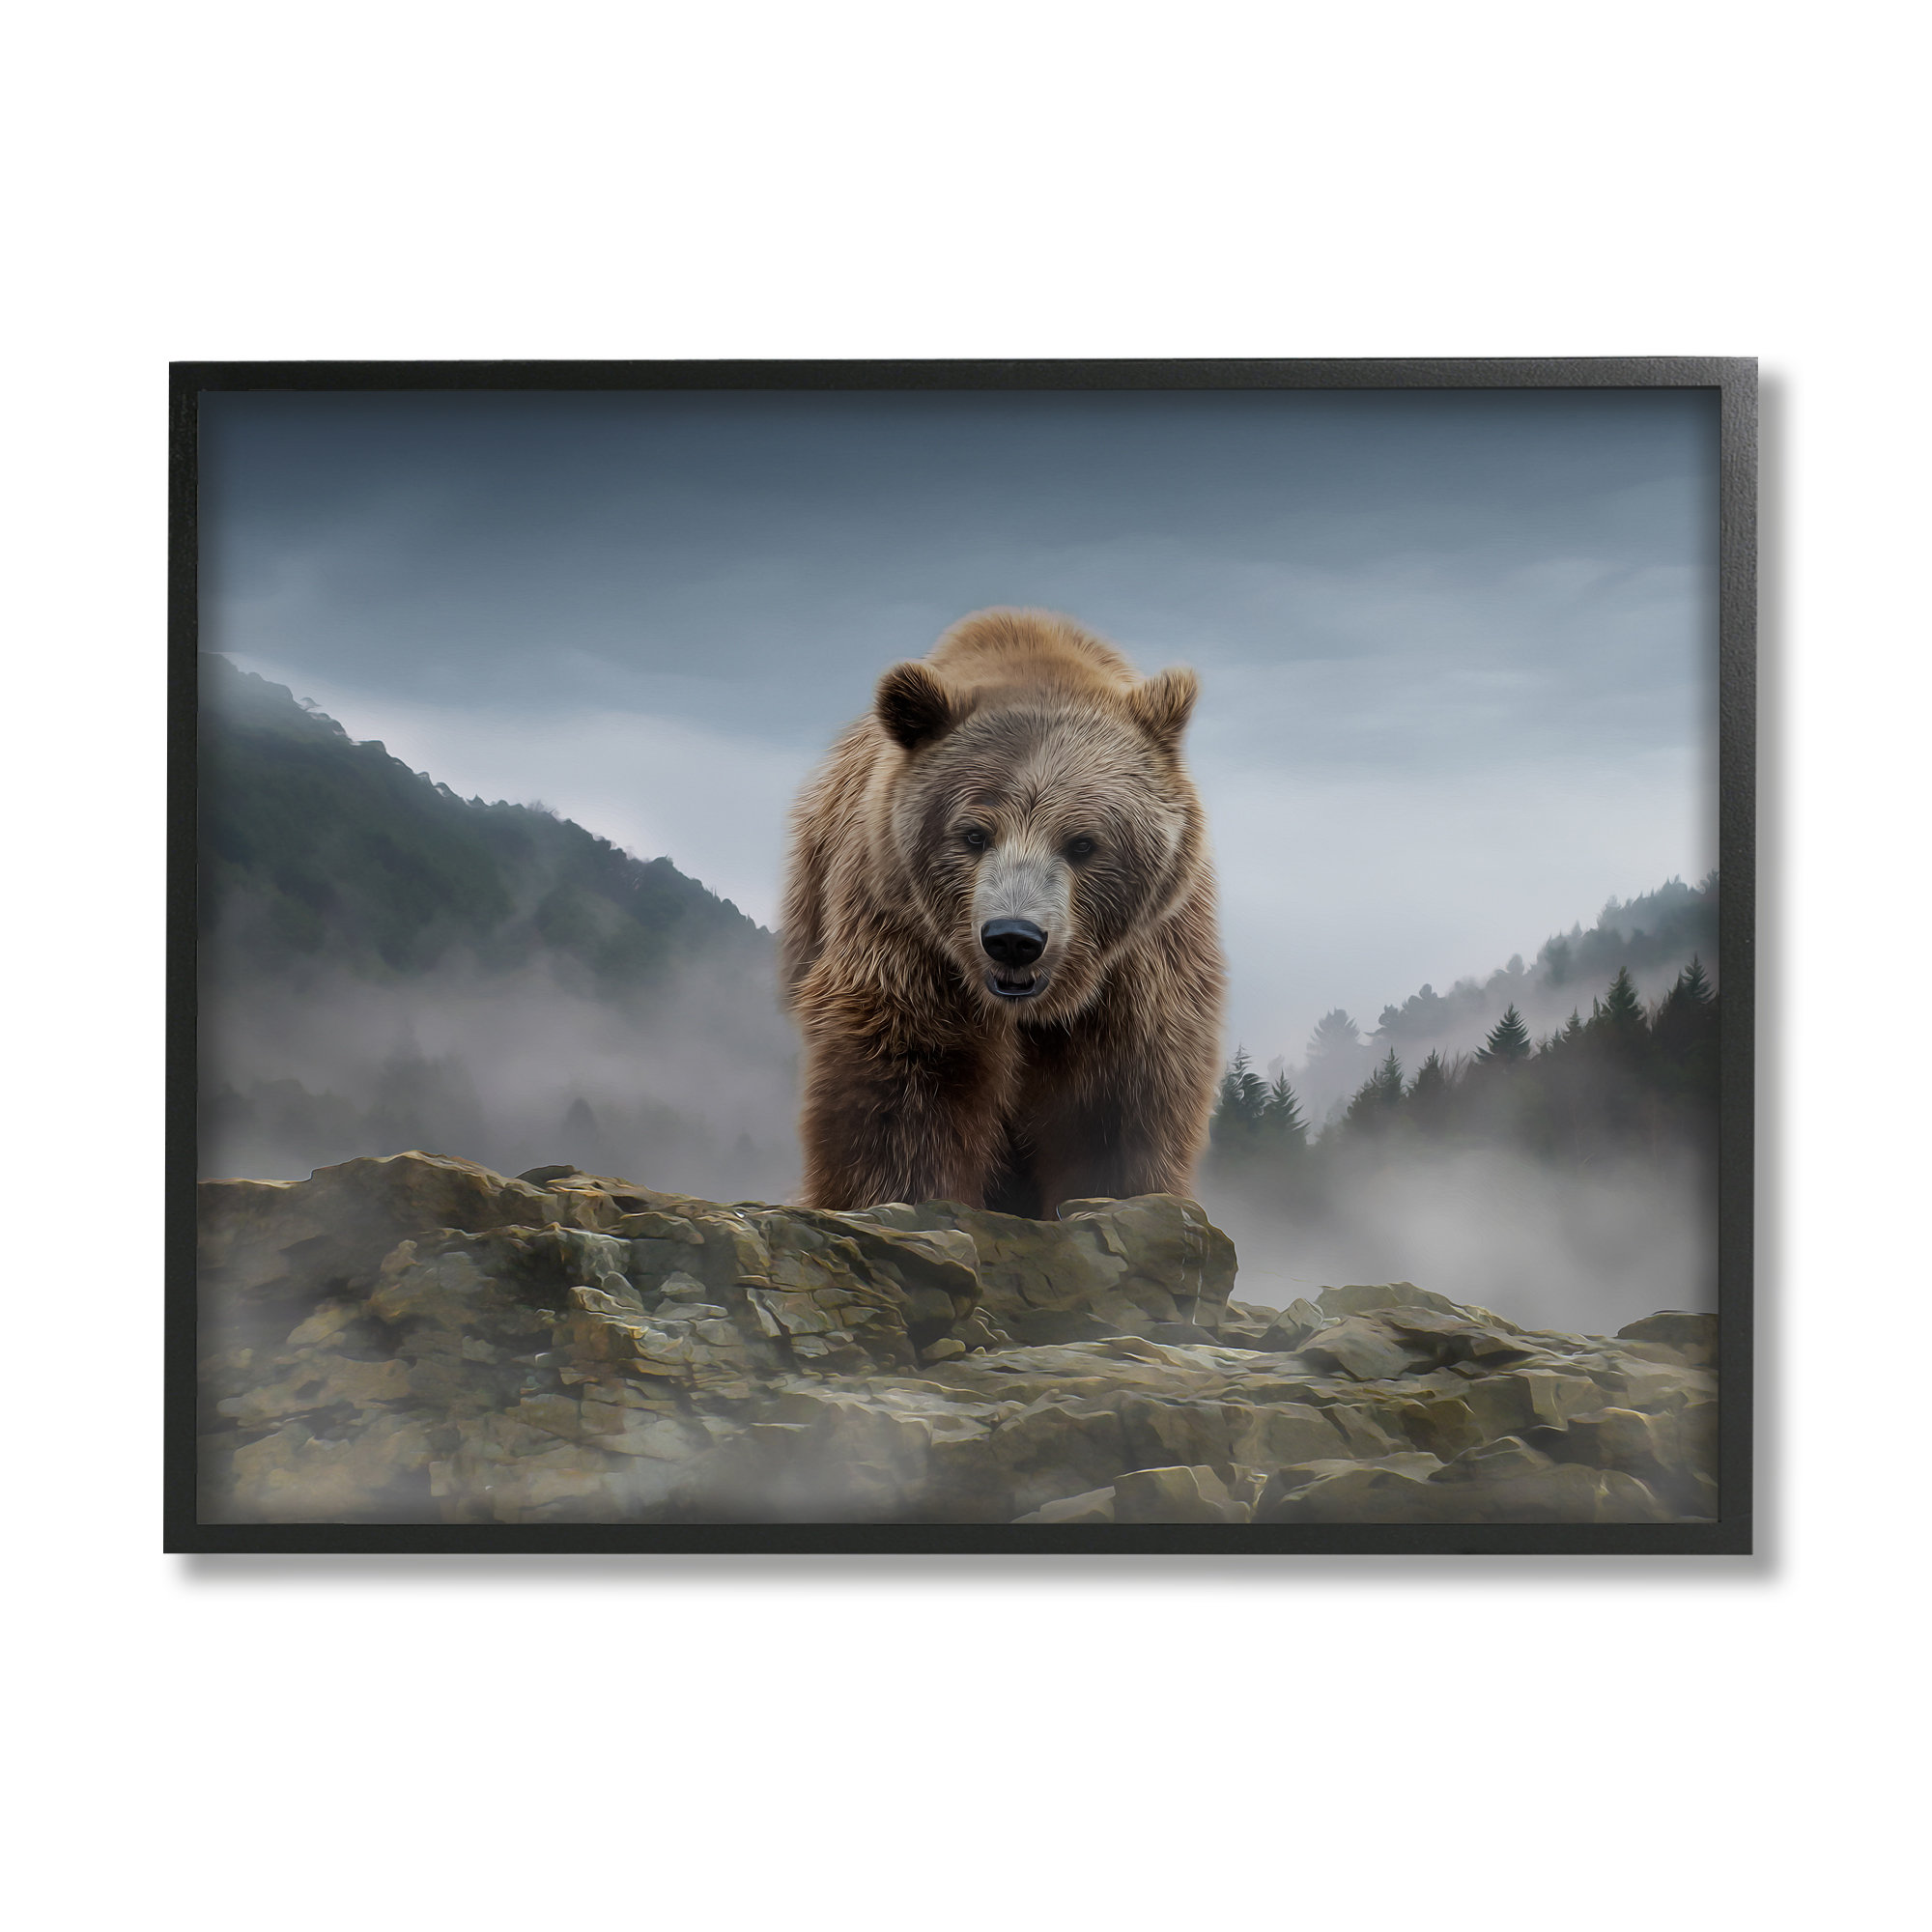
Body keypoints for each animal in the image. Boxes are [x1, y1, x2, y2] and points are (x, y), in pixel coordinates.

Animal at [779, 607, 1225, 1216]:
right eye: (973, 834)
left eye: (1083, 843)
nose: (1014, 938)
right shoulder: (905, 932)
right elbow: (911, 1074)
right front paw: (905, 1195)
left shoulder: (1143, 962)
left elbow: (1120, 1097)